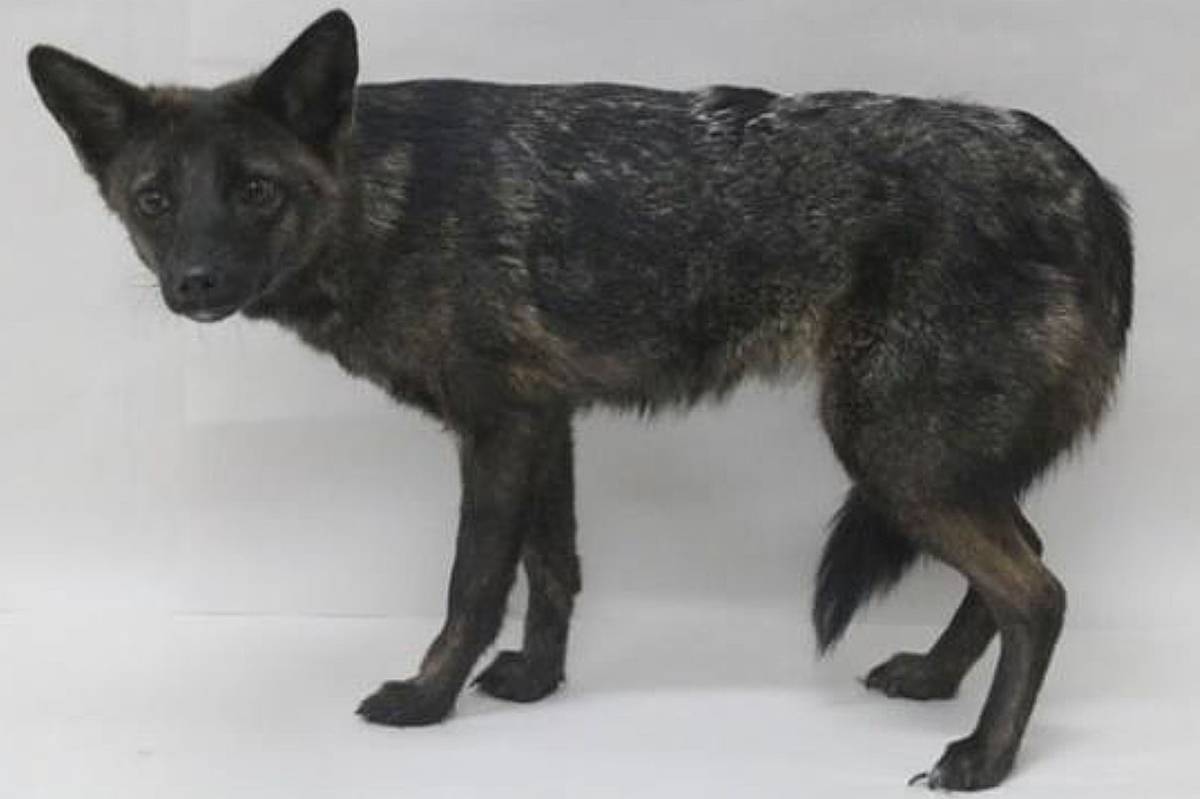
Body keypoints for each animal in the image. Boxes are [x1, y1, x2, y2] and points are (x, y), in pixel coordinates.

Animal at [27, 9, 1132, 791]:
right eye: (154, 200)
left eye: (256, 191)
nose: (196, 284)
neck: (393, 199)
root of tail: (1086, 178)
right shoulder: (542, 420)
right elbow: (552, 567)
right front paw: (533, 683)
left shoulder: (497, 426)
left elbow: (473, 581)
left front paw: (427, 698)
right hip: (929, 463)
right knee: (1025, 561)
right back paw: (937, 683)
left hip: (893, 453)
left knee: (1038, 592)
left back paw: (983, 757)